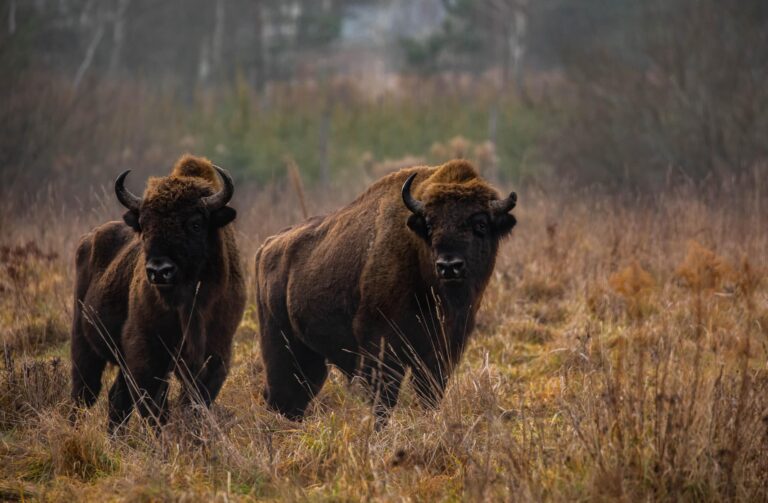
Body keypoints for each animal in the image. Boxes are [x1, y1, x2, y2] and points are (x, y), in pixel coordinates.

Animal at [70, 155, 246, 432]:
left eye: (196, 224)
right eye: (145, 224)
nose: (159, 271)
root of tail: (88, 240)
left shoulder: (216, 351)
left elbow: (194, 399)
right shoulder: (146, 351)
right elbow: (154, 404)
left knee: (116, 397)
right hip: (83, 344)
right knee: (83, 393)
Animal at [255, 159, 516, 423]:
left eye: (480, 224)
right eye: (430, 224)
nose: (449, 266)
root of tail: (267, 245)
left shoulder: (442, 350)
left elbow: (429, 393)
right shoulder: (381, 345)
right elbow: (384, 398)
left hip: (310, 356)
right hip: (280, 343)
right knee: (281, 393)